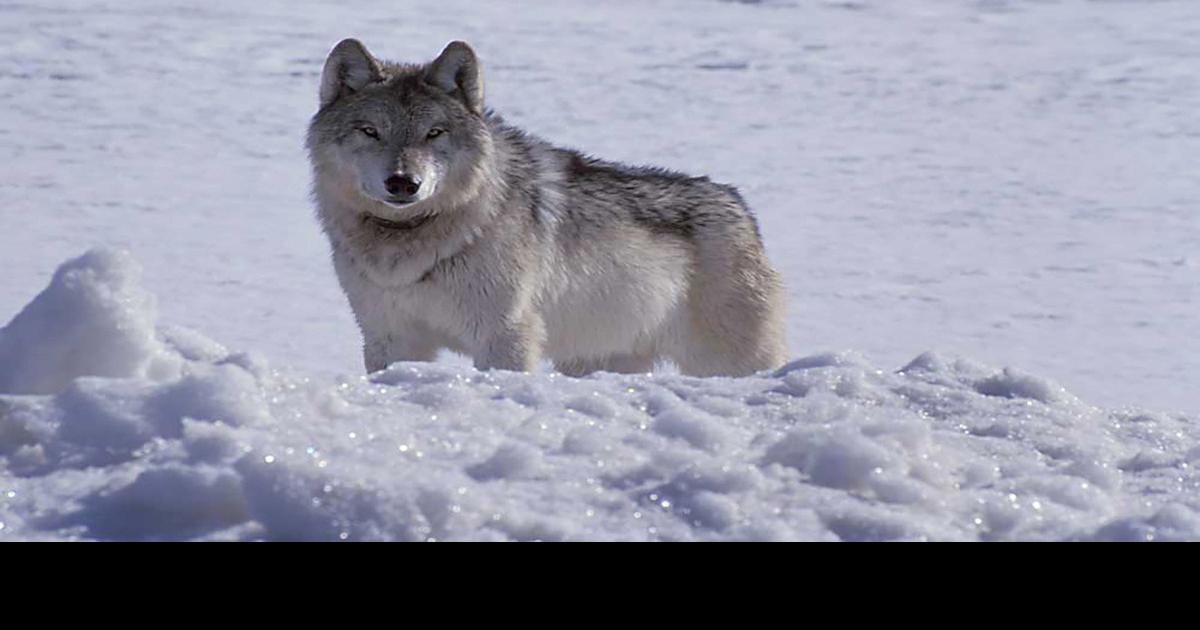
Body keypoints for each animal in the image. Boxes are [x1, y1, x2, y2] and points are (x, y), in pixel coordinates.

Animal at [307, 39, 787, 377]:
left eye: (434, 133)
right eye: (370, 131)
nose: (404, 183)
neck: (408, 241)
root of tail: (739, 205)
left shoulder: (504, 335)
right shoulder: (389, 337)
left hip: (729, 362)